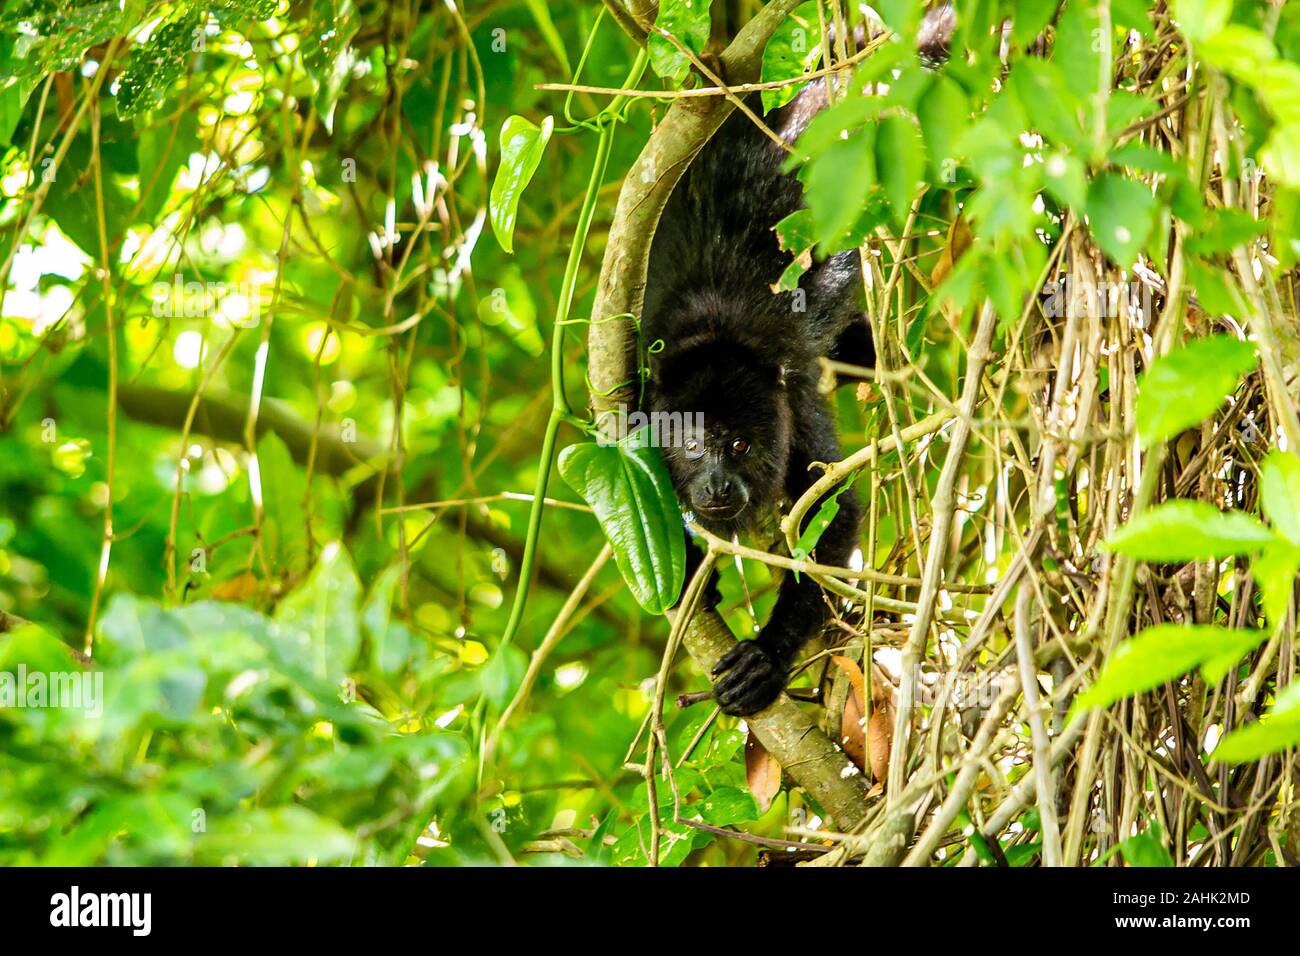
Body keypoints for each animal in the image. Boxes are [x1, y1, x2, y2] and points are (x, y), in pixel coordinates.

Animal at [639, 7, 956, 717]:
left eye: (739, 444)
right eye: (693, 445)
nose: (717, 488)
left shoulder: (789, 399)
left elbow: (831, 509)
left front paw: (766, 657)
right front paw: (690, 573)